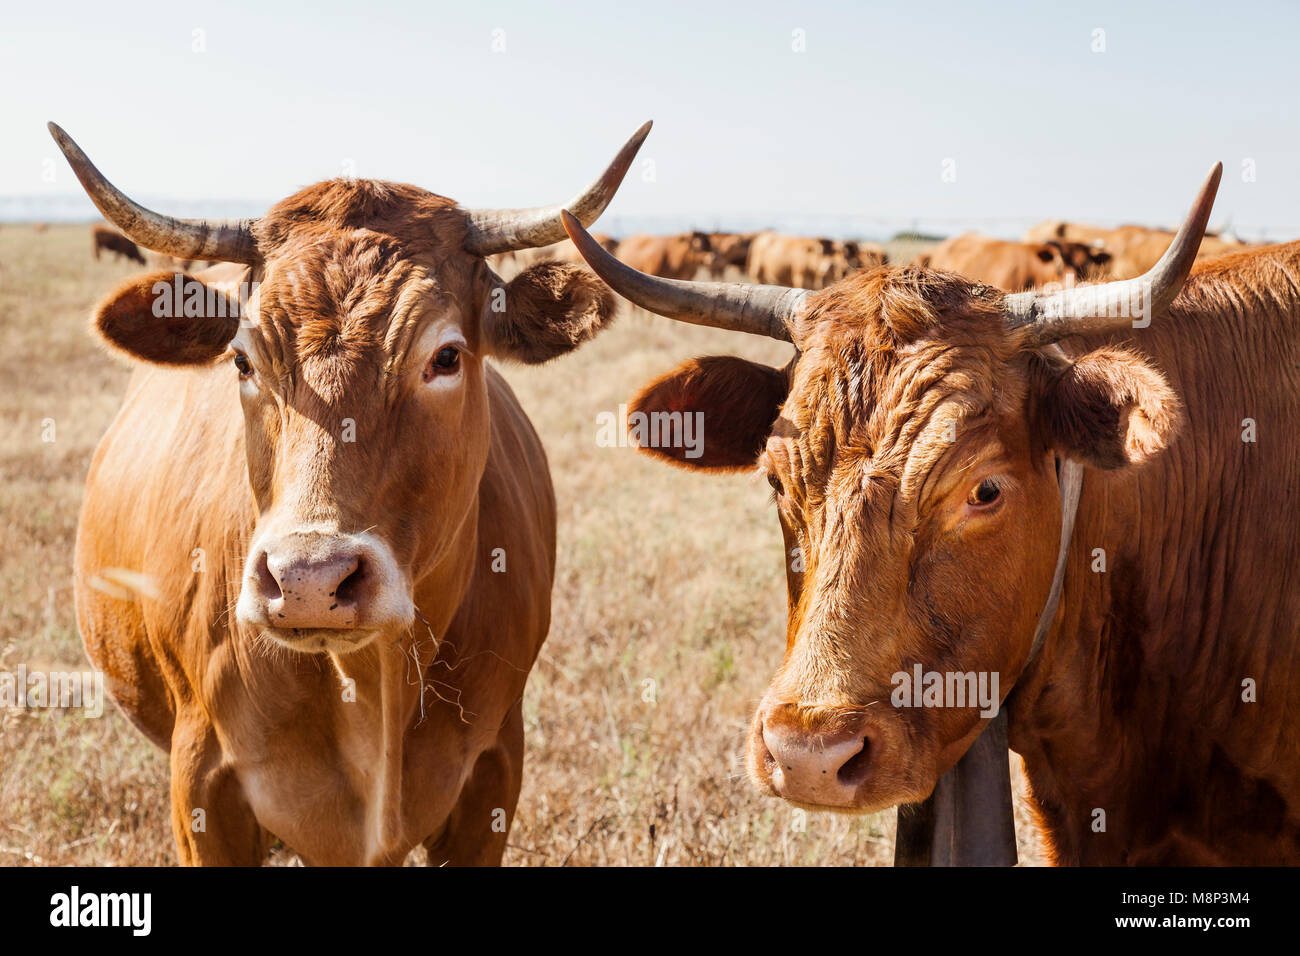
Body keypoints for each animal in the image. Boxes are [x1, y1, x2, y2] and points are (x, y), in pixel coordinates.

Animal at [52, 118, 650, 866]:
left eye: (446, 356)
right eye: (242, 360)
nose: (309, 580)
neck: (368, 684)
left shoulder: (494, 774)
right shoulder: (201, 784)